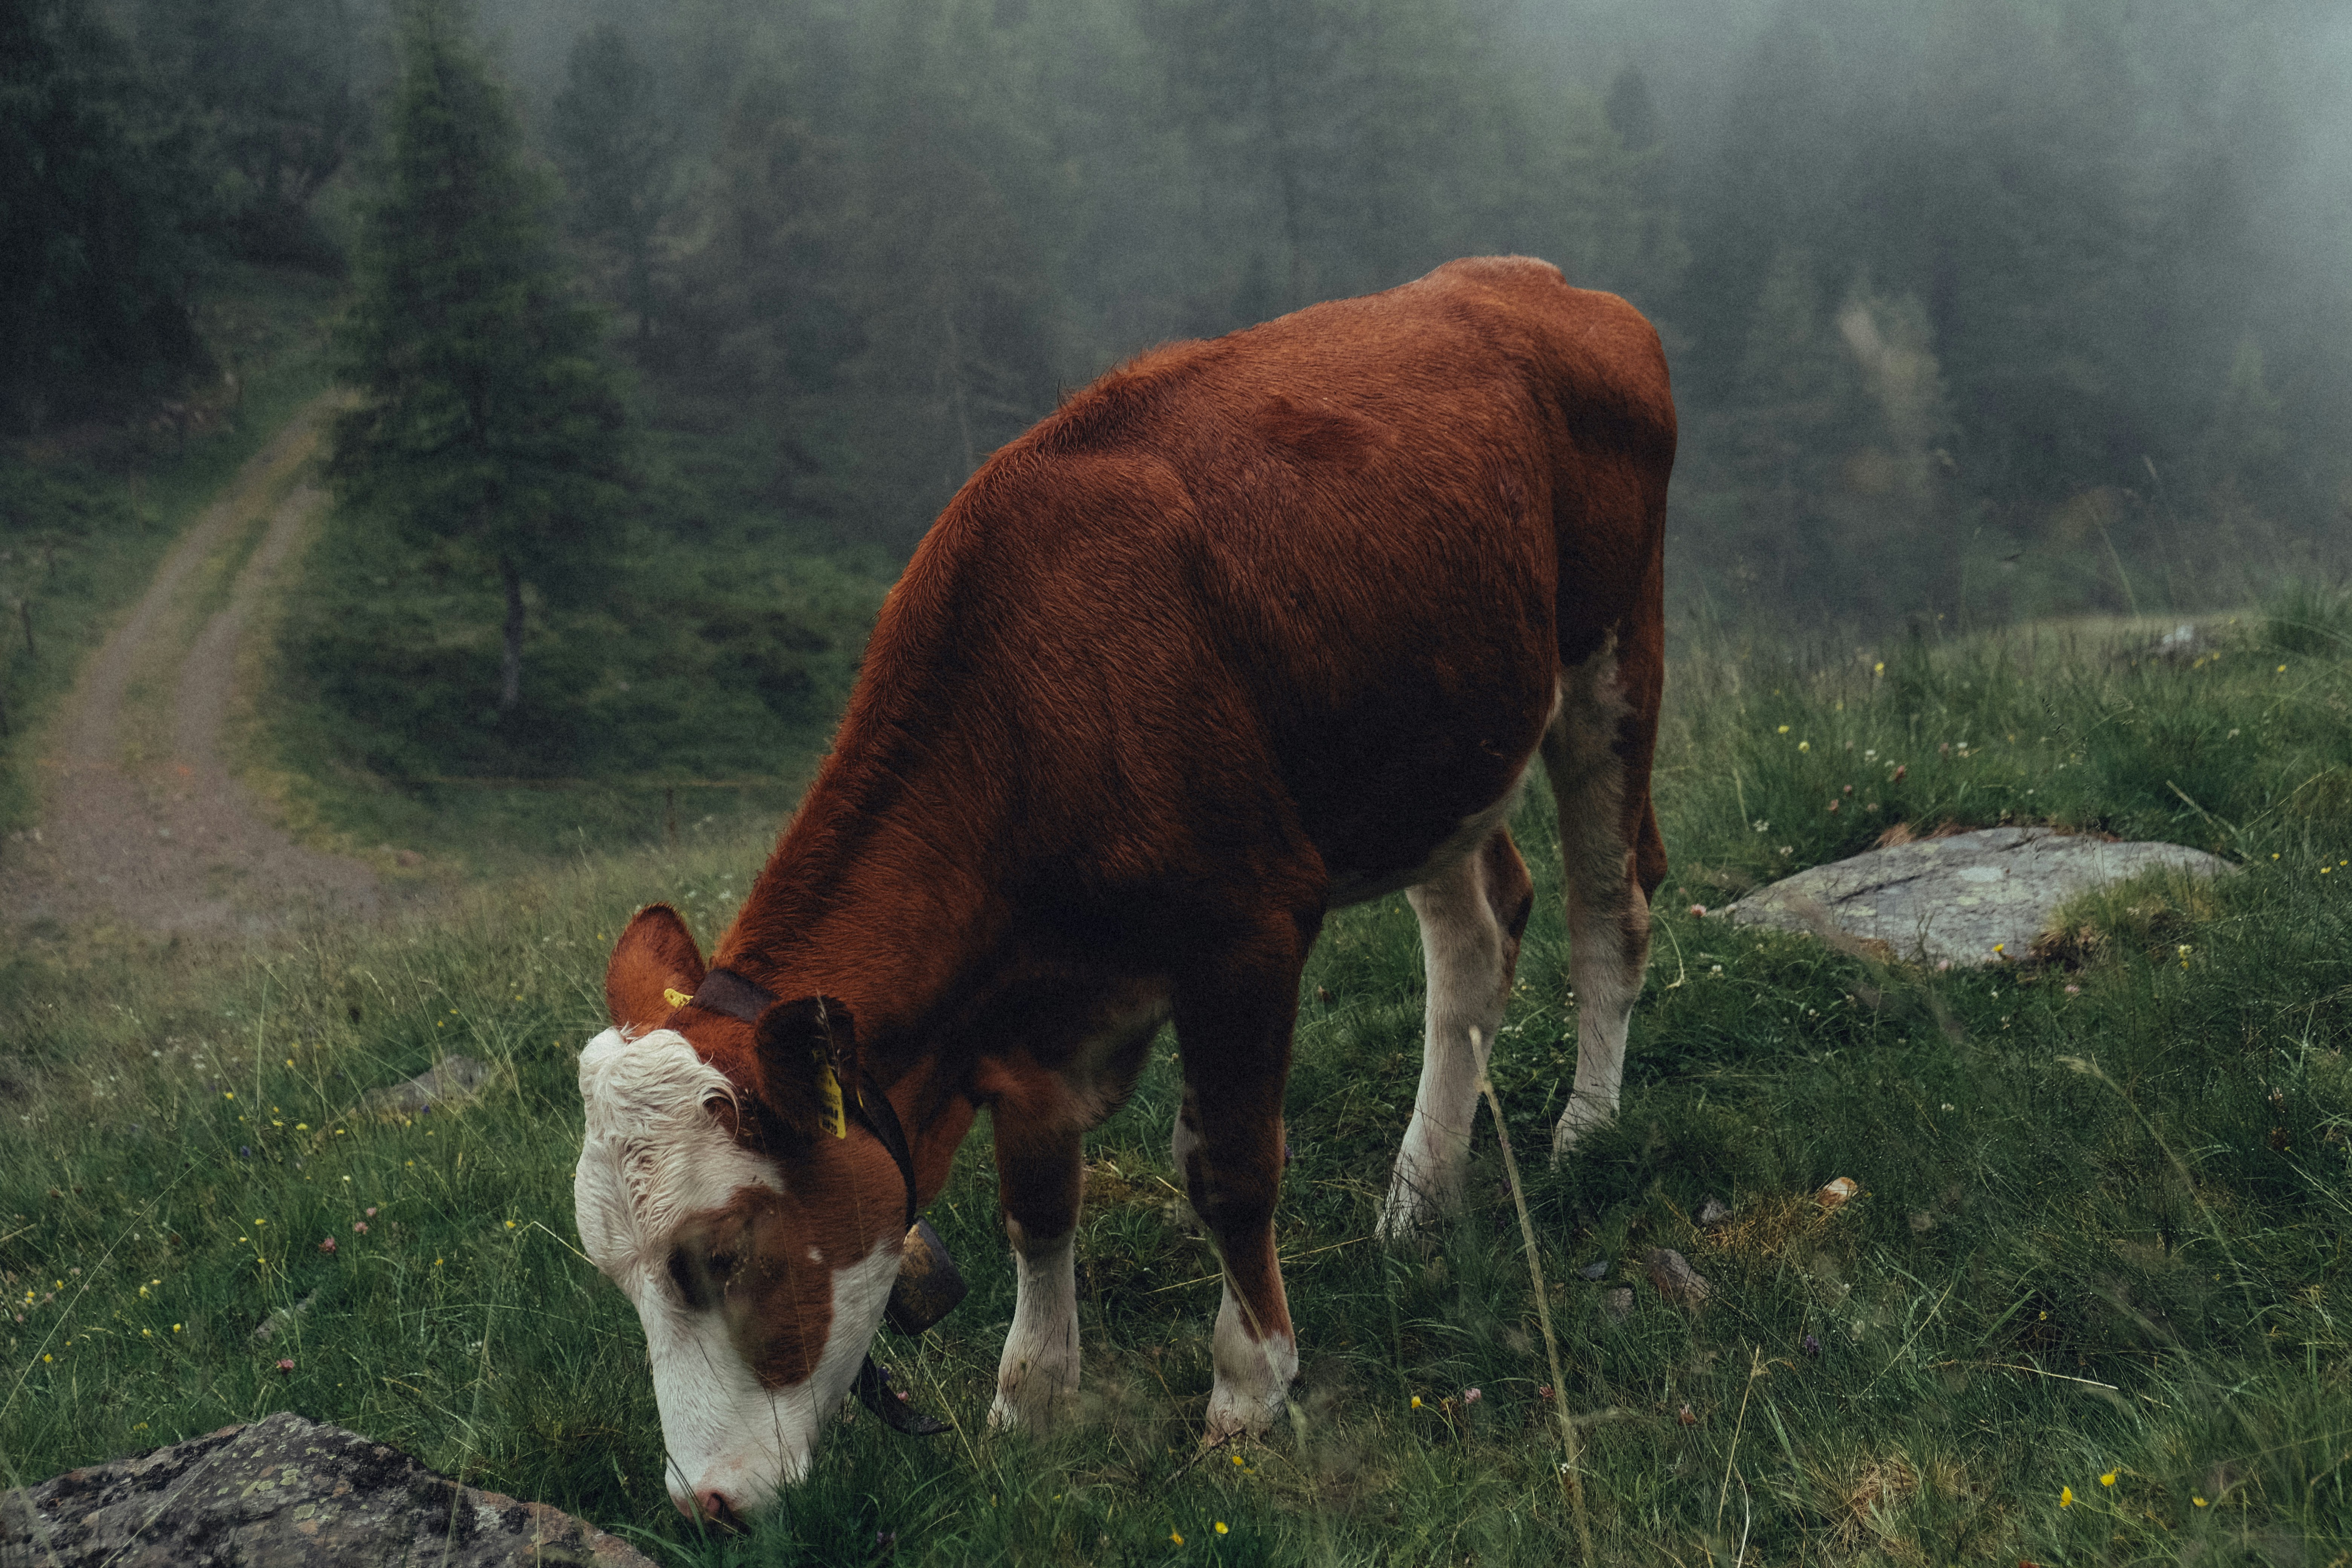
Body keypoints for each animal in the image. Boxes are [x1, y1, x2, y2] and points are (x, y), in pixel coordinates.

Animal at [573, 254, 1674, 1523]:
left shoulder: (1247, 935)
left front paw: (1248, 1390)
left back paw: (1587, 1127)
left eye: (727, 1252)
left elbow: (1230, 1172)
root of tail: (1525, 277)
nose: (703, 1504)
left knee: (1611, 906)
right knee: (1476, 942)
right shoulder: (1031, 1018)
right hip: (1431, 753)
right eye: (613, 1271)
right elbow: (1038, 1199)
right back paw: (1419, 1196)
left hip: (1612, 657)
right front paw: (1031, 1396)